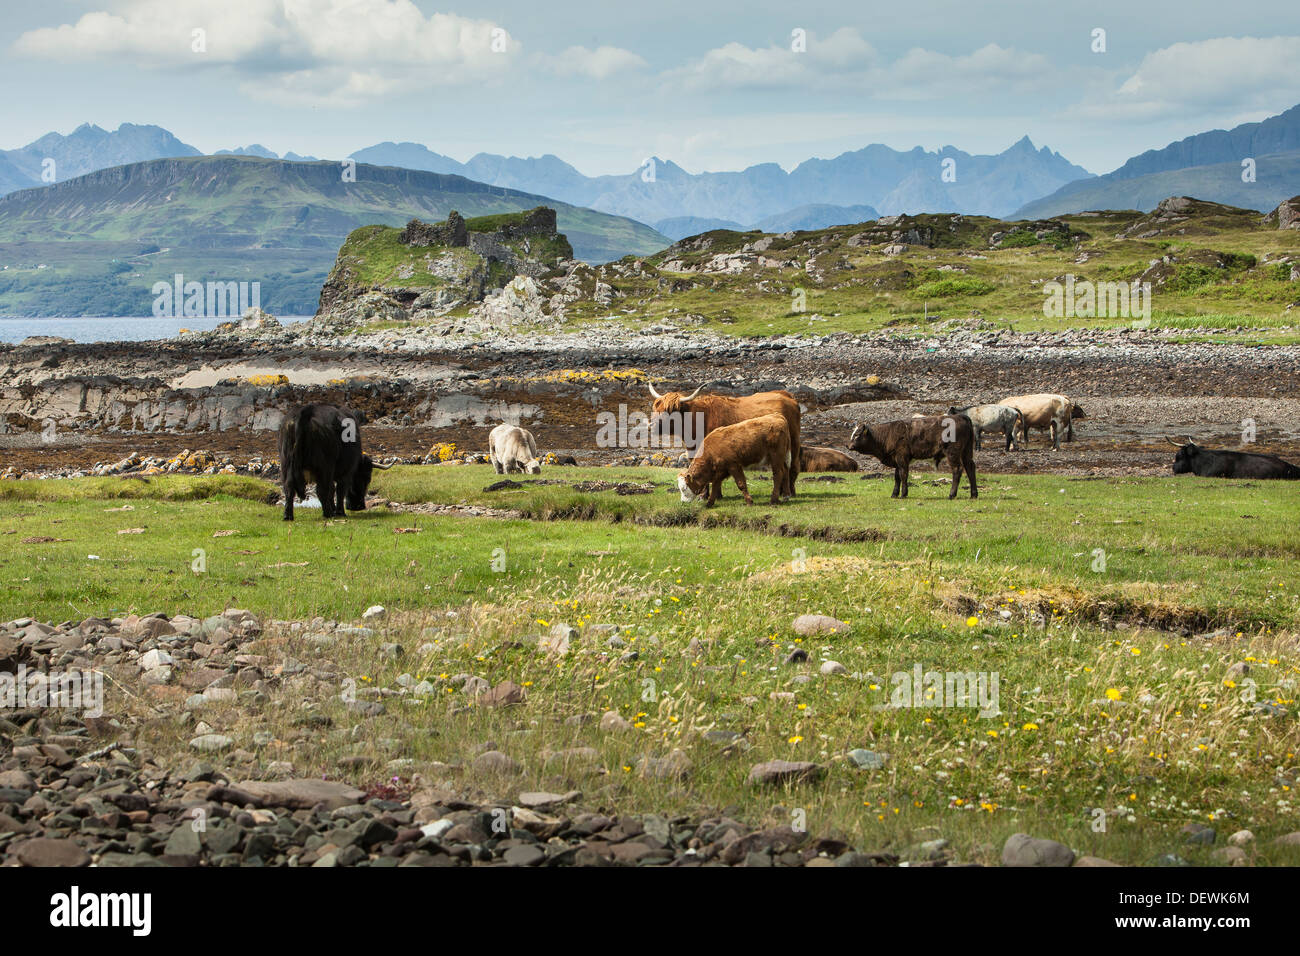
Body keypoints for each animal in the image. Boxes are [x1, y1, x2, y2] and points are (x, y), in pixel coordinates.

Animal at [649, 384, 801, 498]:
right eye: (656, 408)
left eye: (669, 411)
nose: (651, 425)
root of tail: (786, 395)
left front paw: (709, 495)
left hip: (792, 443)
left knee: (791, 467)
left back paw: (789, 493)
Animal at [849, 414, 977, 499]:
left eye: (857, 435)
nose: (848, 445)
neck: (888, 433)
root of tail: (961, 416)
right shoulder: (897, 460)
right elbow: (897, 477)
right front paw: (894, 494)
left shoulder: (902, 458)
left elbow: (903, 475)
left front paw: (903, 494)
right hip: (966, 452)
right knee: (970, 467)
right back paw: (973, 494)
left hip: (952, 453)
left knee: (957, 469)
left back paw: (952, 494)